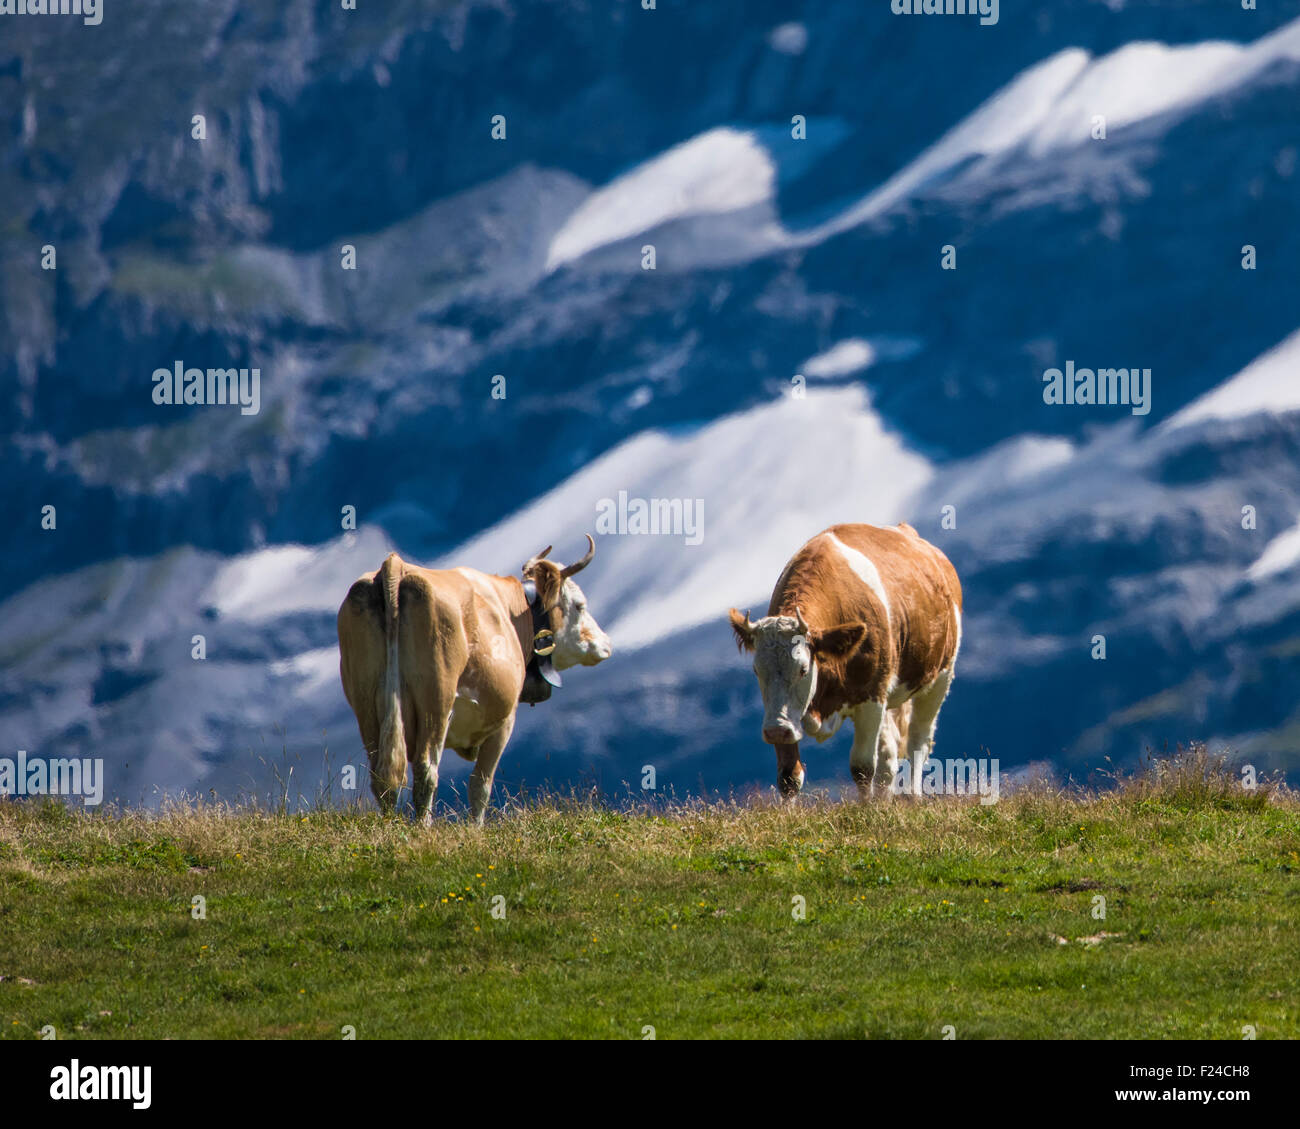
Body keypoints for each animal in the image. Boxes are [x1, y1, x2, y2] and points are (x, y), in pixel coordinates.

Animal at [338, 536, 611, 825]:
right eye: (580, 605)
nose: (606, 643)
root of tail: (396, 566)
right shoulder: (504, 719)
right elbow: (481, 784)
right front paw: (476, 828)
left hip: (367, 704)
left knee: (382, 775)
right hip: (437, 701)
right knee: (426, 769)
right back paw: (423, 826)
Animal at [729, 522, 961, 799]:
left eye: (803, 669)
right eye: (757, 671)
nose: (775, 729)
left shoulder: (871, 698)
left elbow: (862, 768)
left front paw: (866, 809)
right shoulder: (784, 713)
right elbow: (789, 776)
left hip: (939, 677)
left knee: (918, 741)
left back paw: (911, 797)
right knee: (890, 753)